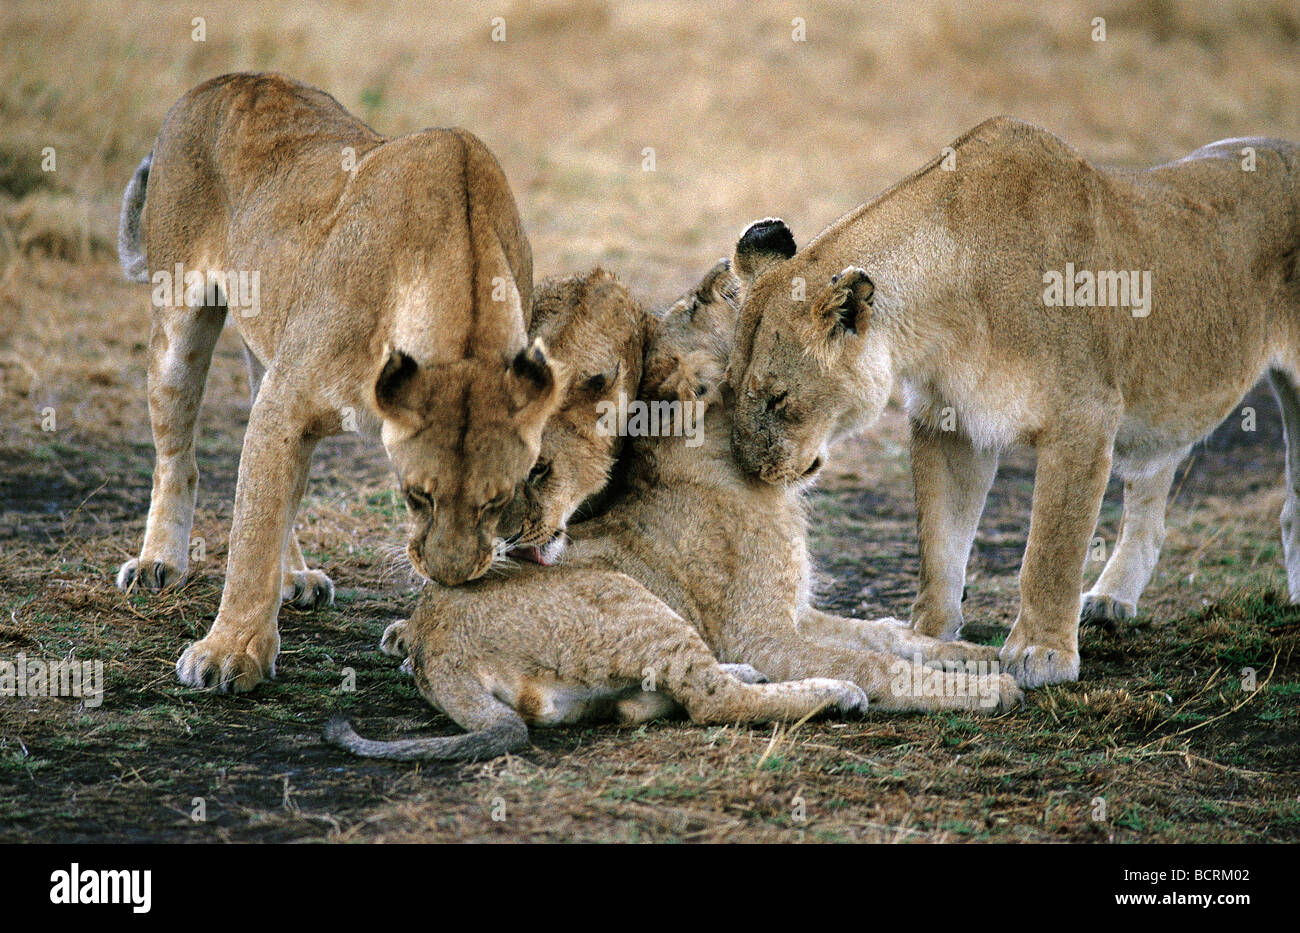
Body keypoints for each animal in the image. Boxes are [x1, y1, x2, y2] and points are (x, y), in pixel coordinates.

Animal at [114, 73, 562, 693]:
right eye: (416, 495)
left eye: (497, 499)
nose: (451, 573)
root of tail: (228, 78)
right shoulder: (285, 404)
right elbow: (252, 536)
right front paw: (229, 653)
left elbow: (269, 506)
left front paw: (424, 631)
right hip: (179, 321)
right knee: (177, 457)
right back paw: (159, 562)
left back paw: (296, 577)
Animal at [326, 262, 1020, 762]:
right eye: (708, 303)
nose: (762, 240)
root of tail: (431, 641)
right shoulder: (763, 631)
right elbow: (876, 664)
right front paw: (989, 688)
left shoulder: (796, 614)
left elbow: (891, 634)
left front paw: (987, 657)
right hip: (628, 599)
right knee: (710, 697)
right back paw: (829, 695)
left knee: (661, 695)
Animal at [725, 116, 1300, 687]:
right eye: (729, 385)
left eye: (777, 397)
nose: (750, 471)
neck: (944, 311)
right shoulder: (949, 424)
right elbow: (940, 548)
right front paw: (929, 637)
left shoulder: (1084, 416)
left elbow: (1051, 549)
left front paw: (1041, 653)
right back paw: (1112, 600)